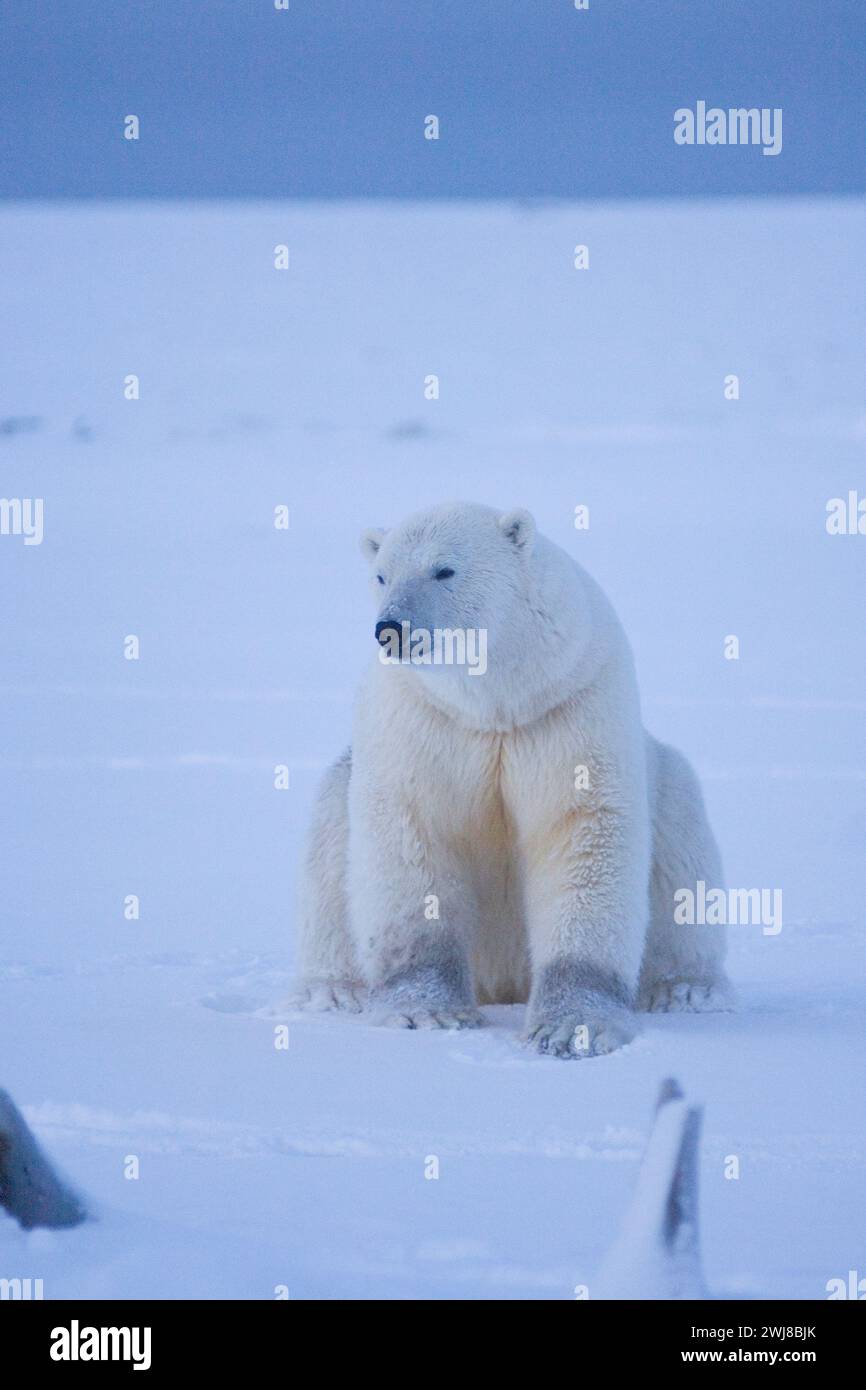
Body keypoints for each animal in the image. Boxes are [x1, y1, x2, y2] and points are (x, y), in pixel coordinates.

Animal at [290, 502, 732, 1057]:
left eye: (444, 569)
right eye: (382, 574)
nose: (391, 628)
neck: (497, 704)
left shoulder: (568, 705)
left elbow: (583, 829)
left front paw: (571, 1028)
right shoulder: (421, 715)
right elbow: (412, 834)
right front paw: (427, 1012)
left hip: (667, 781)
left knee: (684, 851)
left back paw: (686, 989)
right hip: (343, 789)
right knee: (329, 844)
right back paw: (331, 991)